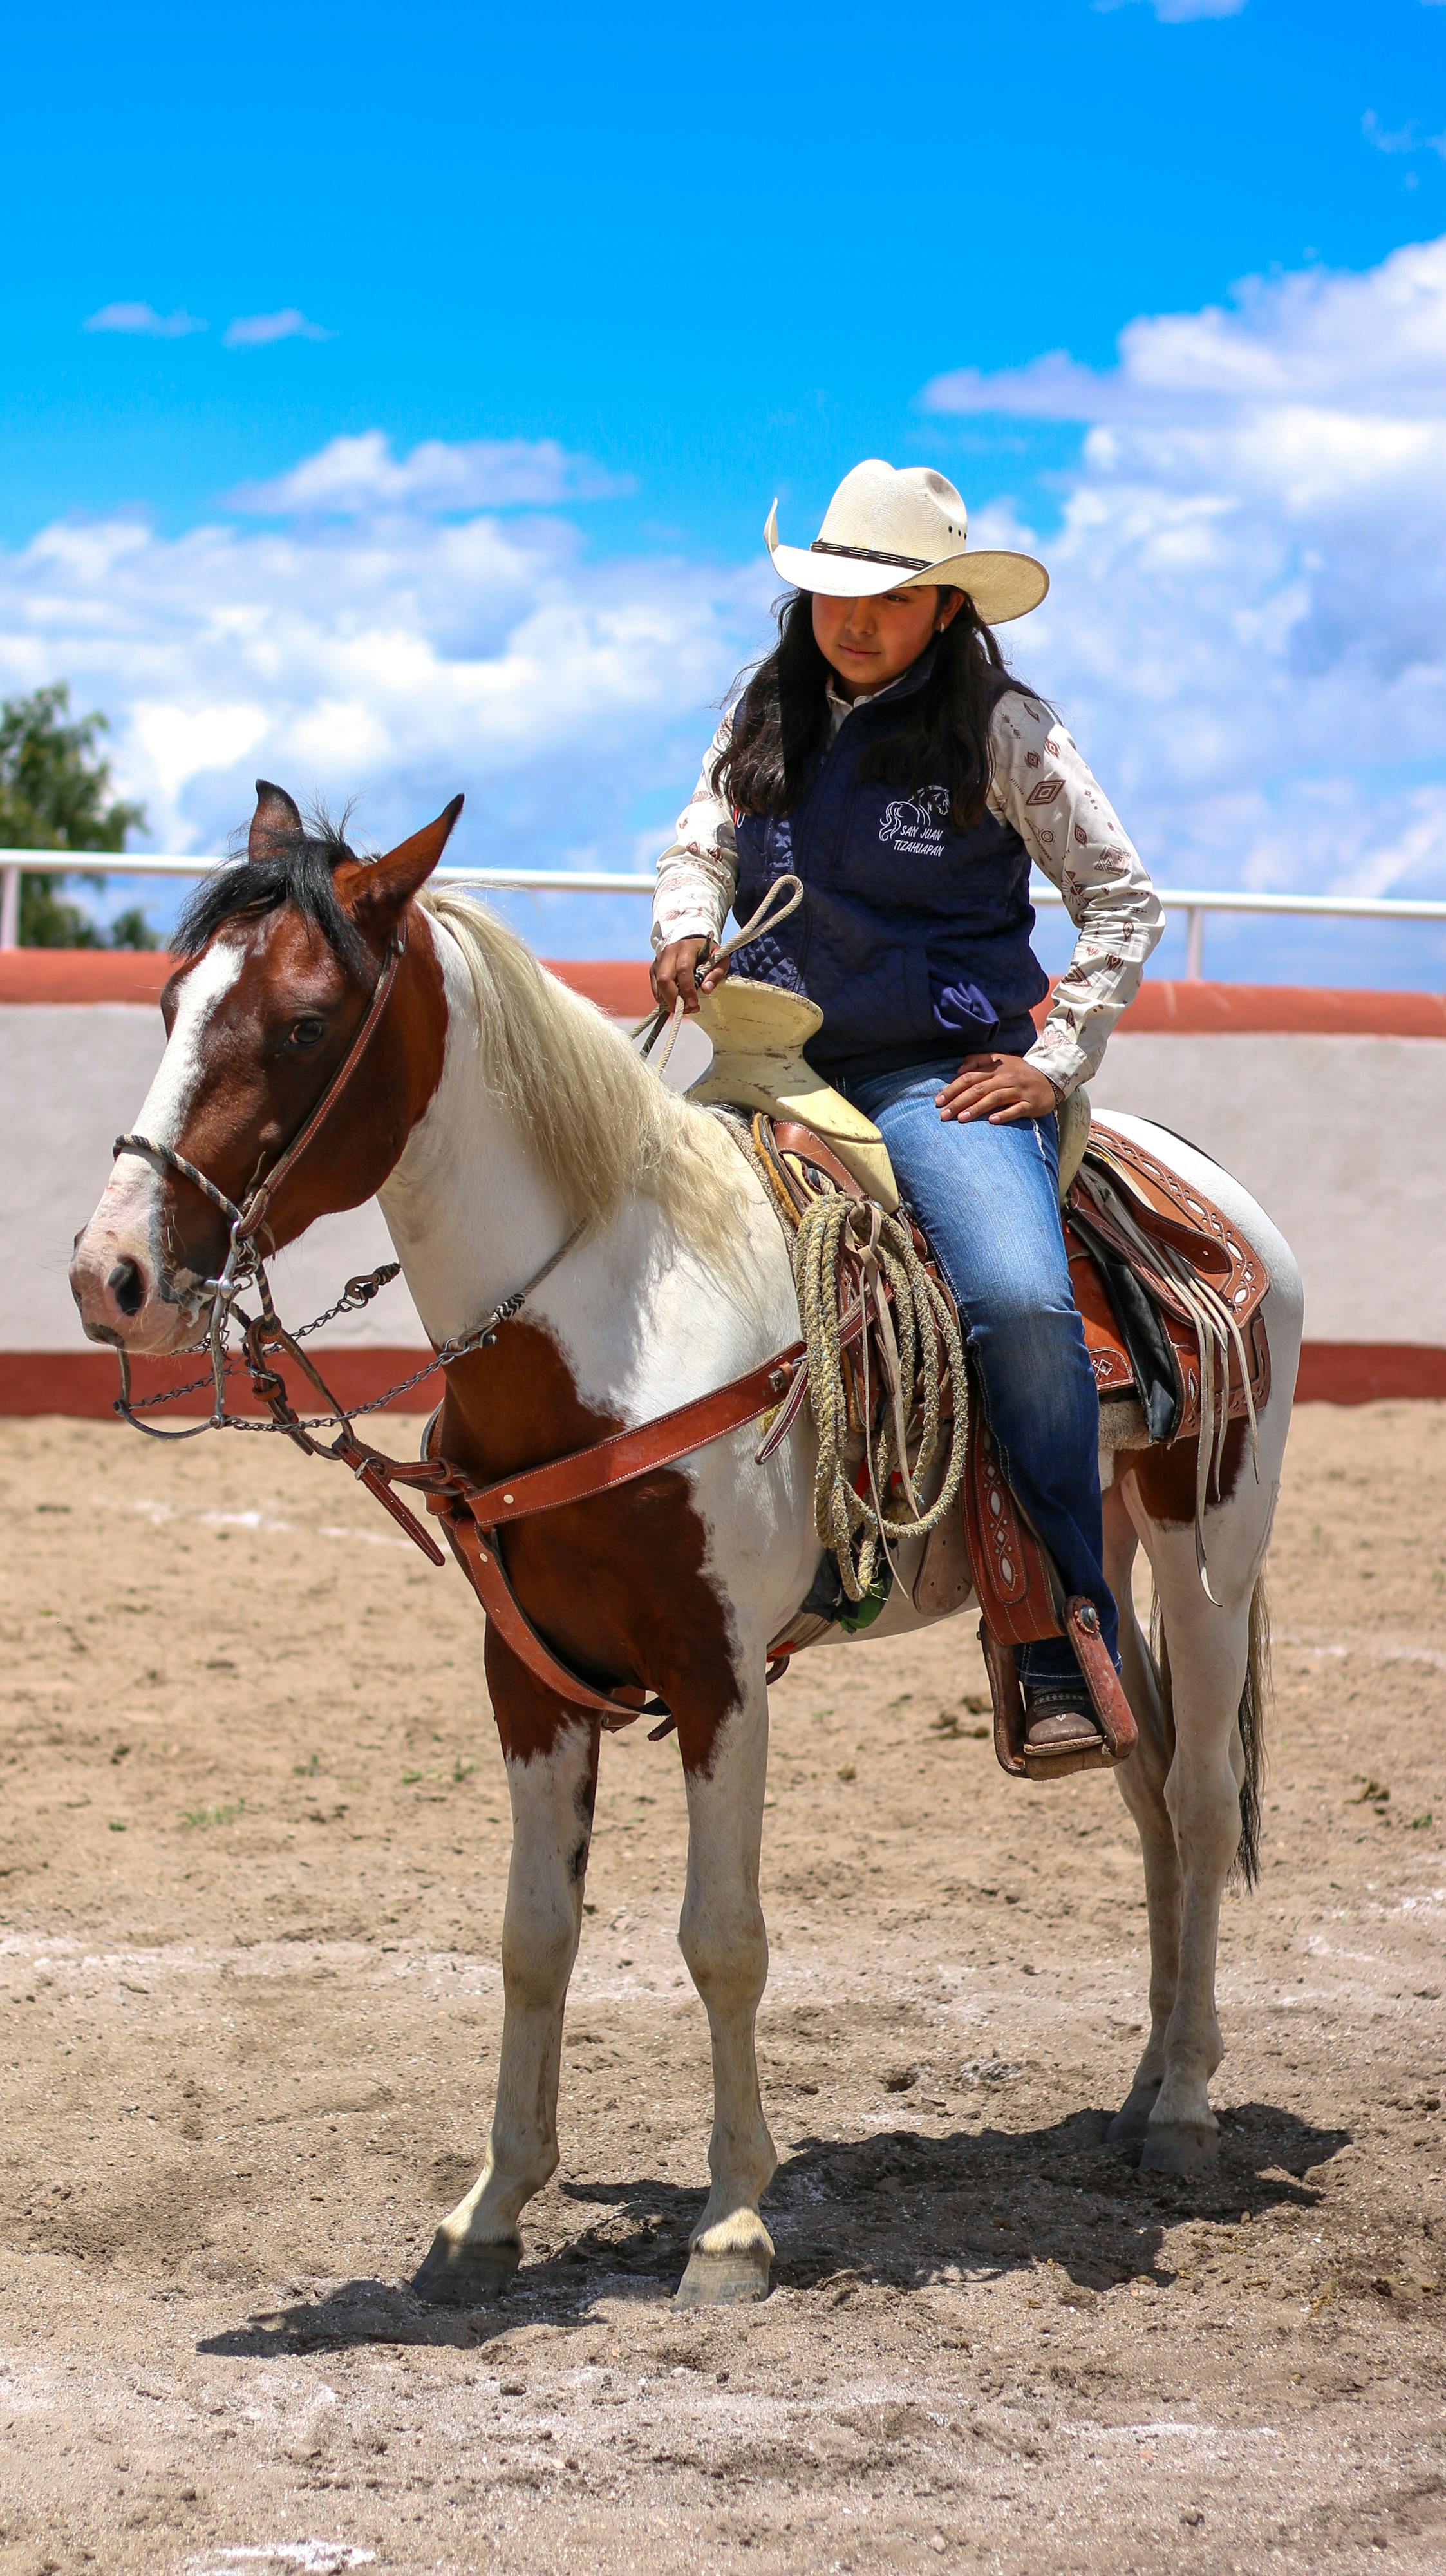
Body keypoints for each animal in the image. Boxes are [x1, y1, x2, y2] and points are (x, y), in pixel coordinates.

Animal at [69, 784, 1304, 2309]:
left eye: (302, 1024)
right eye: (171, 998)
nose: (110, 1275)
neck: (613, 1319)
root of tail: (1201, 1182)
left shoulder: (721, 1673)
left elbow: (721, 1940)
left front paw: (731, 2221)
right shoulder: (525, 1679)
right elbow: (533, 1935)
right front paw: (489, 2210)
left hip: (1212, 1549)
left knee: (1198, 1800)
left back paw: (1184, 2106)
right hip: (1095, 1566)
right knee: (1145, 1792)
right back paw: (1136, 2090)